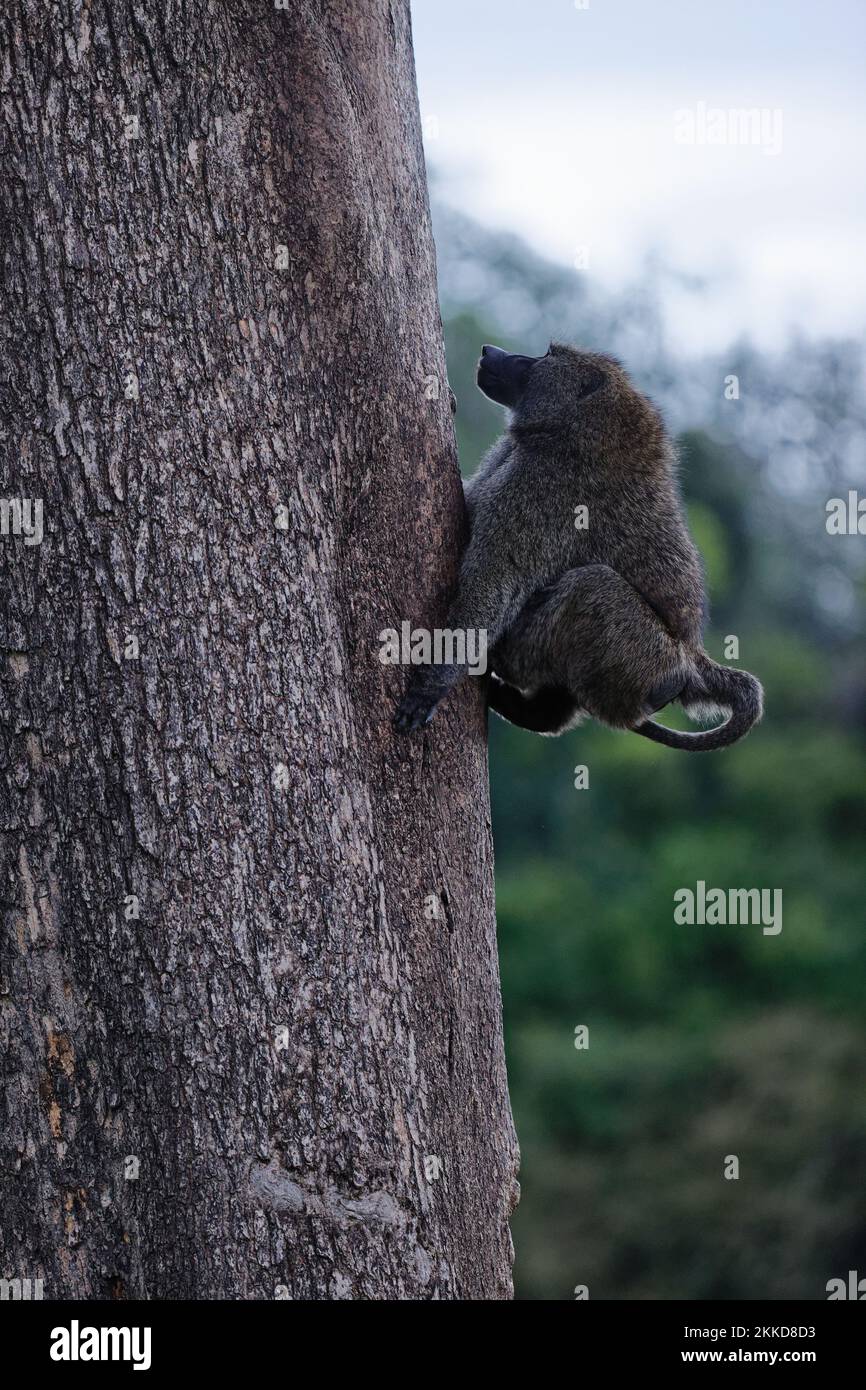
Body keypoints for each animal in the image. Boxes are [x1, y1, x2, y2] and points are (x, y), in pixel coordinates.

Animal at [393, 342, 763, 751]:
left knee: (591, 586)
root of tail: (692, 662)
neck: (575, 432)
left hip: (635, 656)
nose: (491, 351)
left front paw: (431, 685)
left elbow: (494, 584)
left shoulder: (539, 489)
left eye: (543, 357)